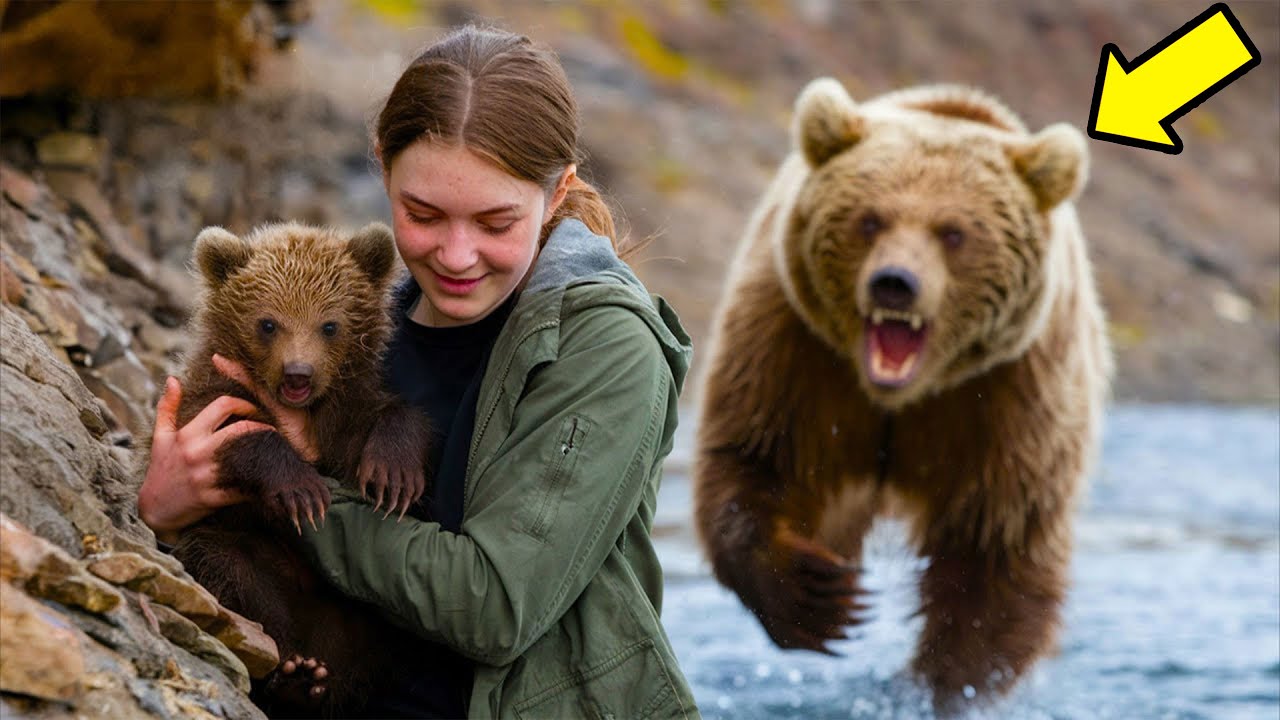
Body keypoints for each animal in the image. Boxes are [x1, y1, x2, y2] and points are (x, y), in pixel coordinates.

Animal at [154, 221, 434, 717]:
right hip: (240, 550)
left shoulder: (347, 409)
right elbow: (236, 433)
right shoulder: (212, 396)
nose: (297, 374)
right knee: (233, 573)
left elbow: (392, 418)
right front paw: (301, 489)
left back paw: (317, 681)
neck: (303, 410)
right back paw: (292, 670)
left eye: (330, 324)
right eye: (268, 322)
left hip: (356, 608)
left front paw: (393, 475)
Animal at [693, 78, 1112, 709]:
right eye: (871, 220)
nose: (895, 283)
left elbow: (995, 546)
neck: (901, 394)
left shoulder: (1012, 394)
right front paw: (821, 597)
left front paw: (945, 684)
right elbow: (759, 458)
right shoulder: (794, 349)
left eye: (954, 232)